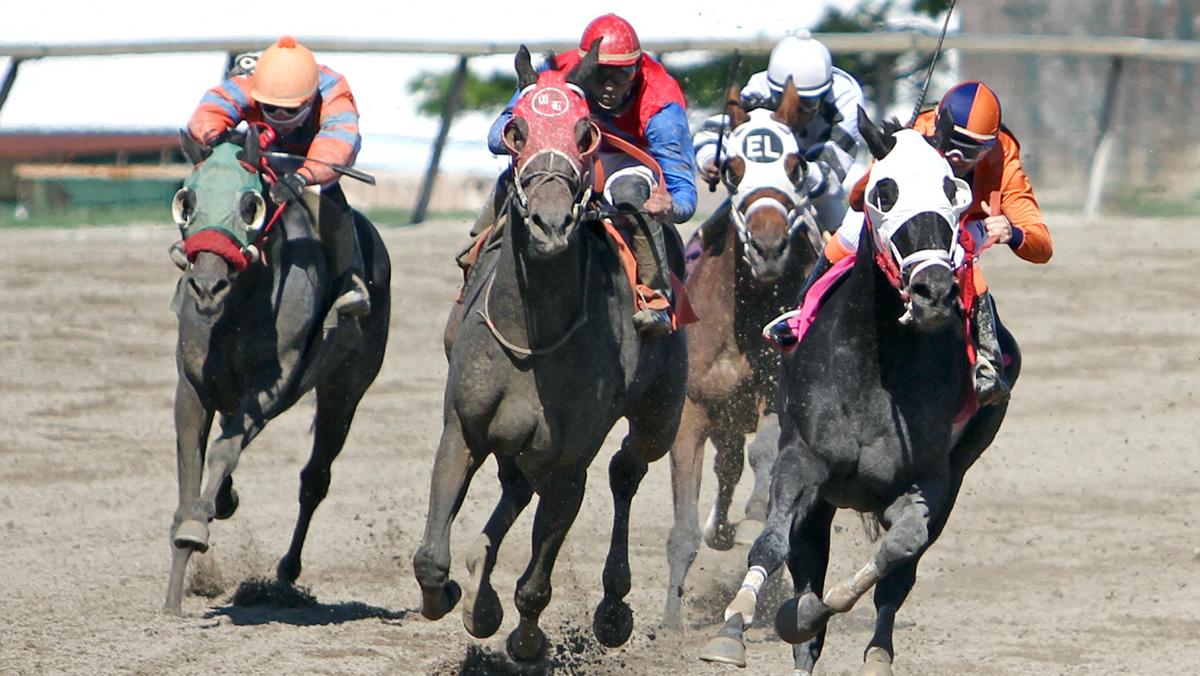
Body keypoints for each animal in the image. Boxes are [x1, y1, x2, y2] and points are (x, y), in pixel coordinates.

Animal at [163, 127, 391, 613]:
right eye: (186, 199)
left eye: (250, 205)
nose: (206, 285)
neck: (240, 305)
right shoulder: (192, 386)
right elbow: (191, 467)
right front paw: (172, 596)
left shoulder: (274, 385)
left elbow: (224, 452)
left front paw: (196, 529)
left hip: (346, 390)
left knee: (315, 478)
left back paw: (287, 573)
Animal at [412, 44, 688, 662]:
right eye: (516, 129)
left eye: (586, 134)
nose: (551, 223)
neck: (533, 336)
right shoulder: (461, 430)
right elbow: (431, 557)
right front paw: (457, 595)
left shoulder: (567, 465)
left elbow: (537, 580)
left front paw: (528, 637)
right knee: (517, 488)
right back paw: (481, 585)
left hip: (659, 415)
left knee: (626, 469)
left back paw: (612, 608)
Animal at [663, 80, 822, 629]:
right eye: (733, 167)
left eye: (795, 164)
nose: (769, 245)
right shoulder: (691, 411)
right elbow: (684, 529)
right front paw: (669, 623)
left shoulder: (781, 401)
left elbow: (768, 455)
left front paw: (756, 510)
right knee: (727, 466)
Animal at [699, 107, 1021, 675]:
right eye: (884, 191)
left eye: (952, 188)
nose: (934, 290)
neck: (878, 367)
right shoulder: (802, 460)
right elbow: (770, 545)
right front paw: (731, 631)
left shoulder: (931, 479)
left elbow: (900, 550)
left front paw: (811, 613)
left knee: (895, 575)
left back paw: (875, 654)